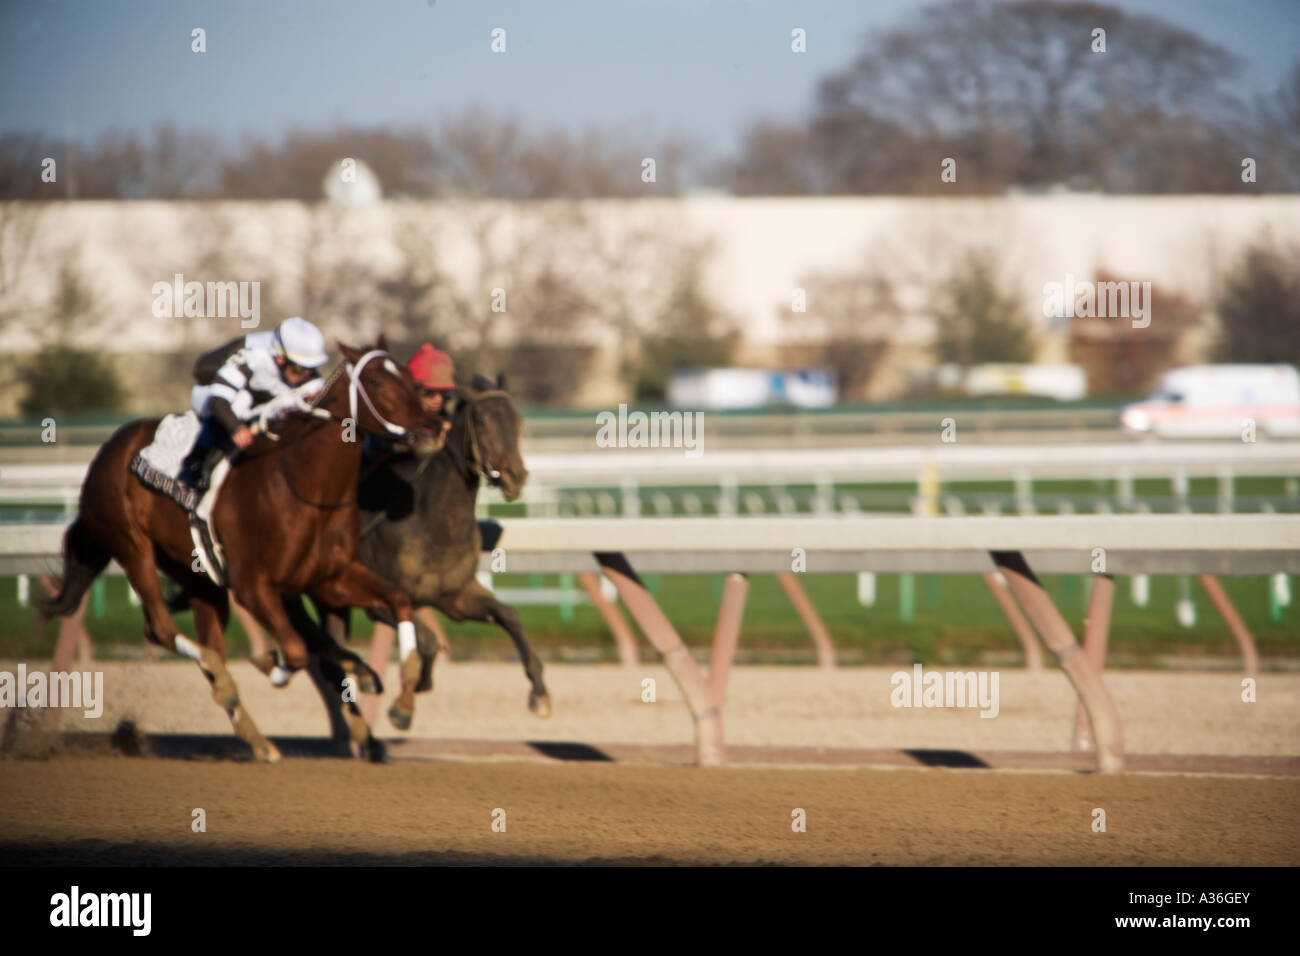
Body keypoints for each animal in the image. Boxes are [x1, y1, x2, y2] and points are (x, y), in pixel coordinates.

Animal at [39, 339, 441, 762]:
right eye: (376, 380)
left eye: (411, 378)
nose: (431, 427)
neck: (306, 484)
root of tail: (108, 450)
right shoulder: (254, 587)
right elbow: (295, 651)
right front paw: (269, 662)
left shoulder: (331, 578)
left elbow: (397, 601)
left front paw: (402, 701)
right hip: (132, 547)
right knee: (163, 630)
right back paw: (227, 687)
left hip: (195, 574)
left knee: (200, 636)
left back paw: (256, 736)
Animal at [316, 373, 548, 732]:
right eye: (481, 421)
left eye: (518, 421)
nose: (516, 477)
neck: (434, 521)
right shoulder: (378, 599)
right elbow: (424, 640)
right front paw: (404, 704)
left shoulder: (454, 595)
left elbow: (509, 616)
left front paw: (539, 693)